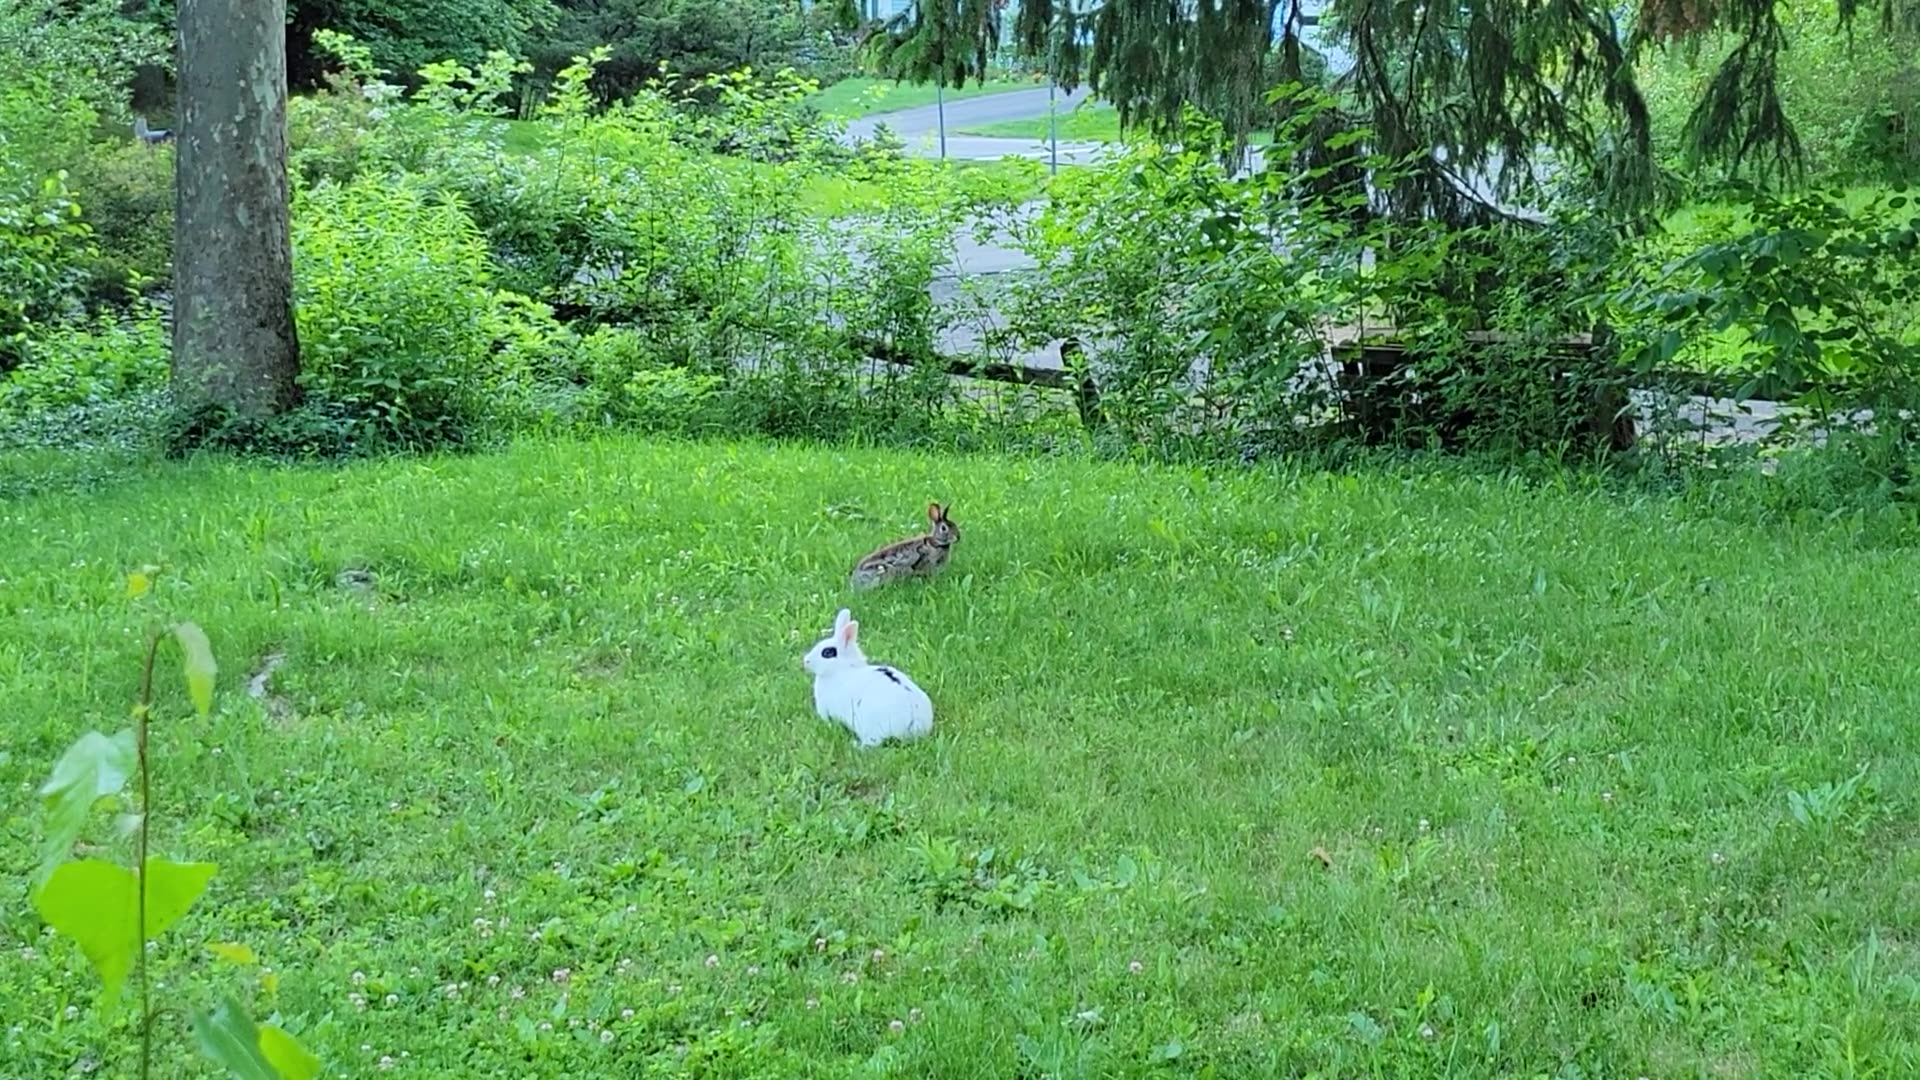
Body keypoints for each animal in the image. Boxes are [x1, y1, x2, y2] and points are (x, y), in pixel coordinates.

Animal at [803, 609, 933, 748]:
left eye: (827, 653)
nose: (806, 661)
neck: (842, 669)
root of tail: (917, 722)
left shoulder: (825, 709)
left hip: (871, 728)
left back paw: (855, 745)